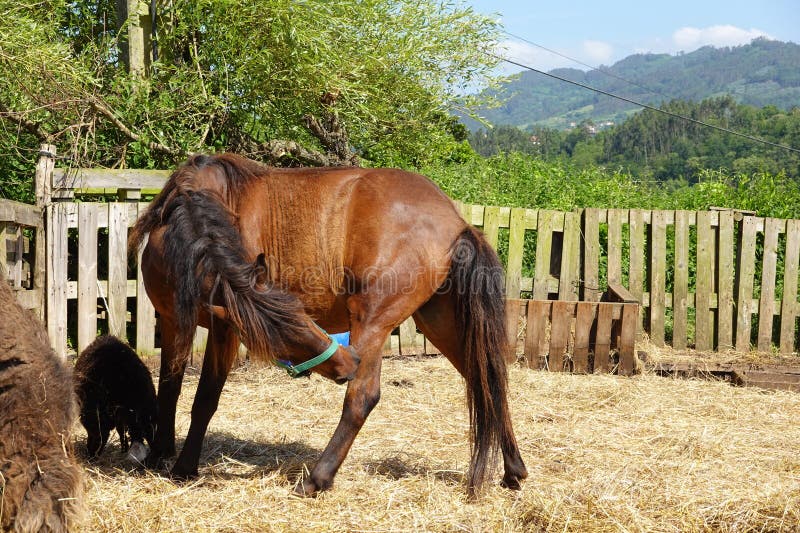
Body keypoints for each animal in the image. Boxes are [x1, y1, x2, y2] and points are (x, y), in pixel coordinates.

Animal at [128, 153, 527, 498]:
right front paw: (161, 452)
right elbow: (172, 388)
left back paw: (317, 477)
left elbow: (200, 397)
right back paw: (514, 470)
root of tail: (456, 221)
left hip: (373, 322)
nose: (347, 362)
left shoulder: (219, 328)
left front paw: (182, 465)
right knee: (487, 381)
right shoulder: (175, 320)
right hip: (437, 323)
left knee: (362, 398)